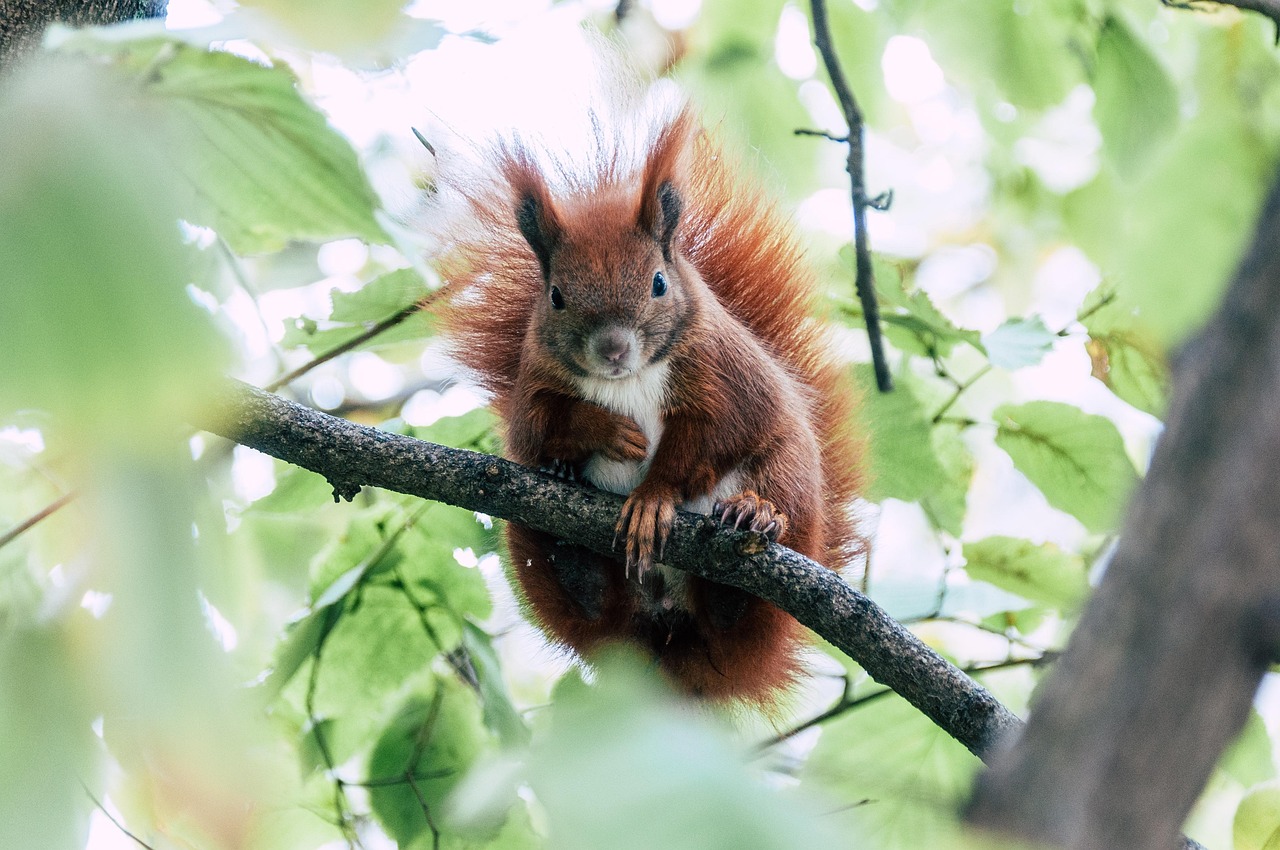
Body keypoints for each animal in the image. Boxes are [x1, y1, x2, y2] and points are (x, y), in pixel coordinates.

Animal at [433, 103, 865, 708]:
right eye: (556, 296)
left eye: (659, 282)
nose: (613, 349)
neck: (629, 381)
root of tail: (667, 630)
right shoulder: (535, 383)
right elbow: (538, 426)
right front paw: (603, 432)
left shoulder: (723, 379)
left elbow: (704, 440)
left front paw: (652, 498)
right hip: (535, 544)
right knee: (588, 597)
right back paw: (568, 536)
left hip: (792, 480)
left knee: (742, 594)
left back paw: (753, 517)